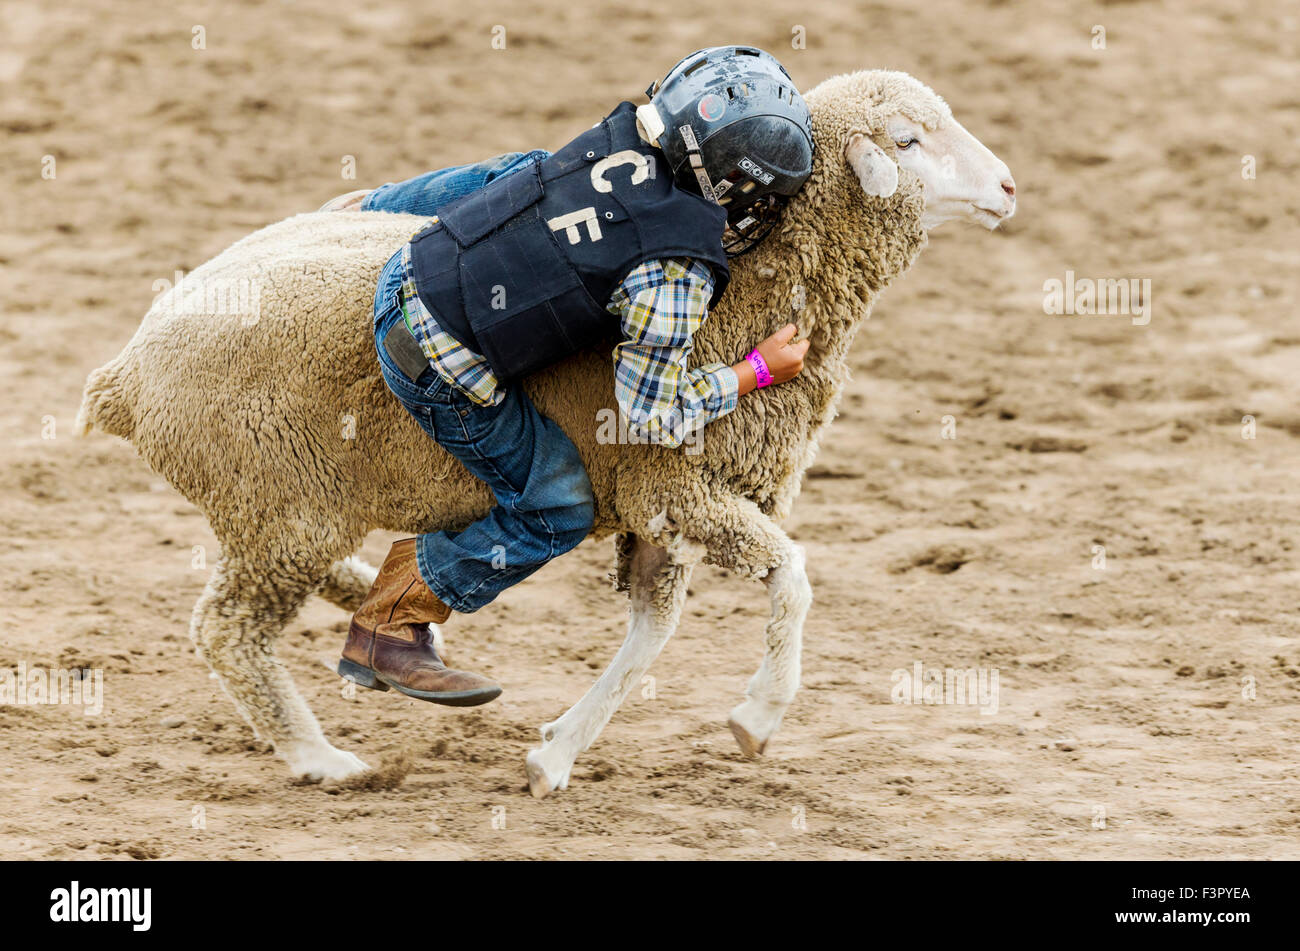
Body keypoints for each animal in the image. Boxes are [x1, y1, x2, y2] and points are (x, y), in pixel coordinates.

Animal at [77, 70, 1015, 796]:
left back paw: (392, 623)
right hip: (281, 502)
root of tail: (124, 375)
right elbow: (790, 575)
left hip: (276, 513)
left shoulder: (656, 507)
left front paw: (555, 755)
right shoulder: (674, 479)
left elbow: (650, 636)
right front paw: (756, 717)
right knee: (227, 629)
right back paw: (324, 753)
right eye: (908, 139)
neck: (752, 287)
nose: (1008, 187)